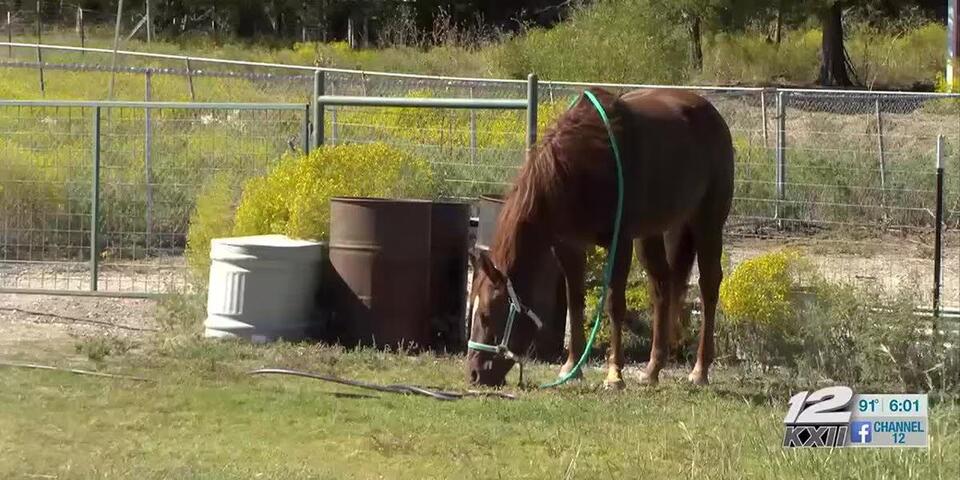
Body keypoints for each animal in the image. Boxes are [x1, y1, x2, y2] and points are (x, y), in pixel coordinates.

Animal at [466, 87, 734, 389]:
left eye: (486, 315)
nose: (474, 374)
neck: (581, 165)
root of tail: (711, 113)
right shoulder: (568, 246)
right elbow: (574, 302)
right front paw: (571, 367)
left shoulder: (620, 243)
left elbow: (614, 305)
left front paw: (614, 374)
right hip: (651, 234)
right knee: (662, 287)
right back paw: (652, 369)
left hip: (707, 222)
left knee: (708, 285)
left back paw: (699, 370)